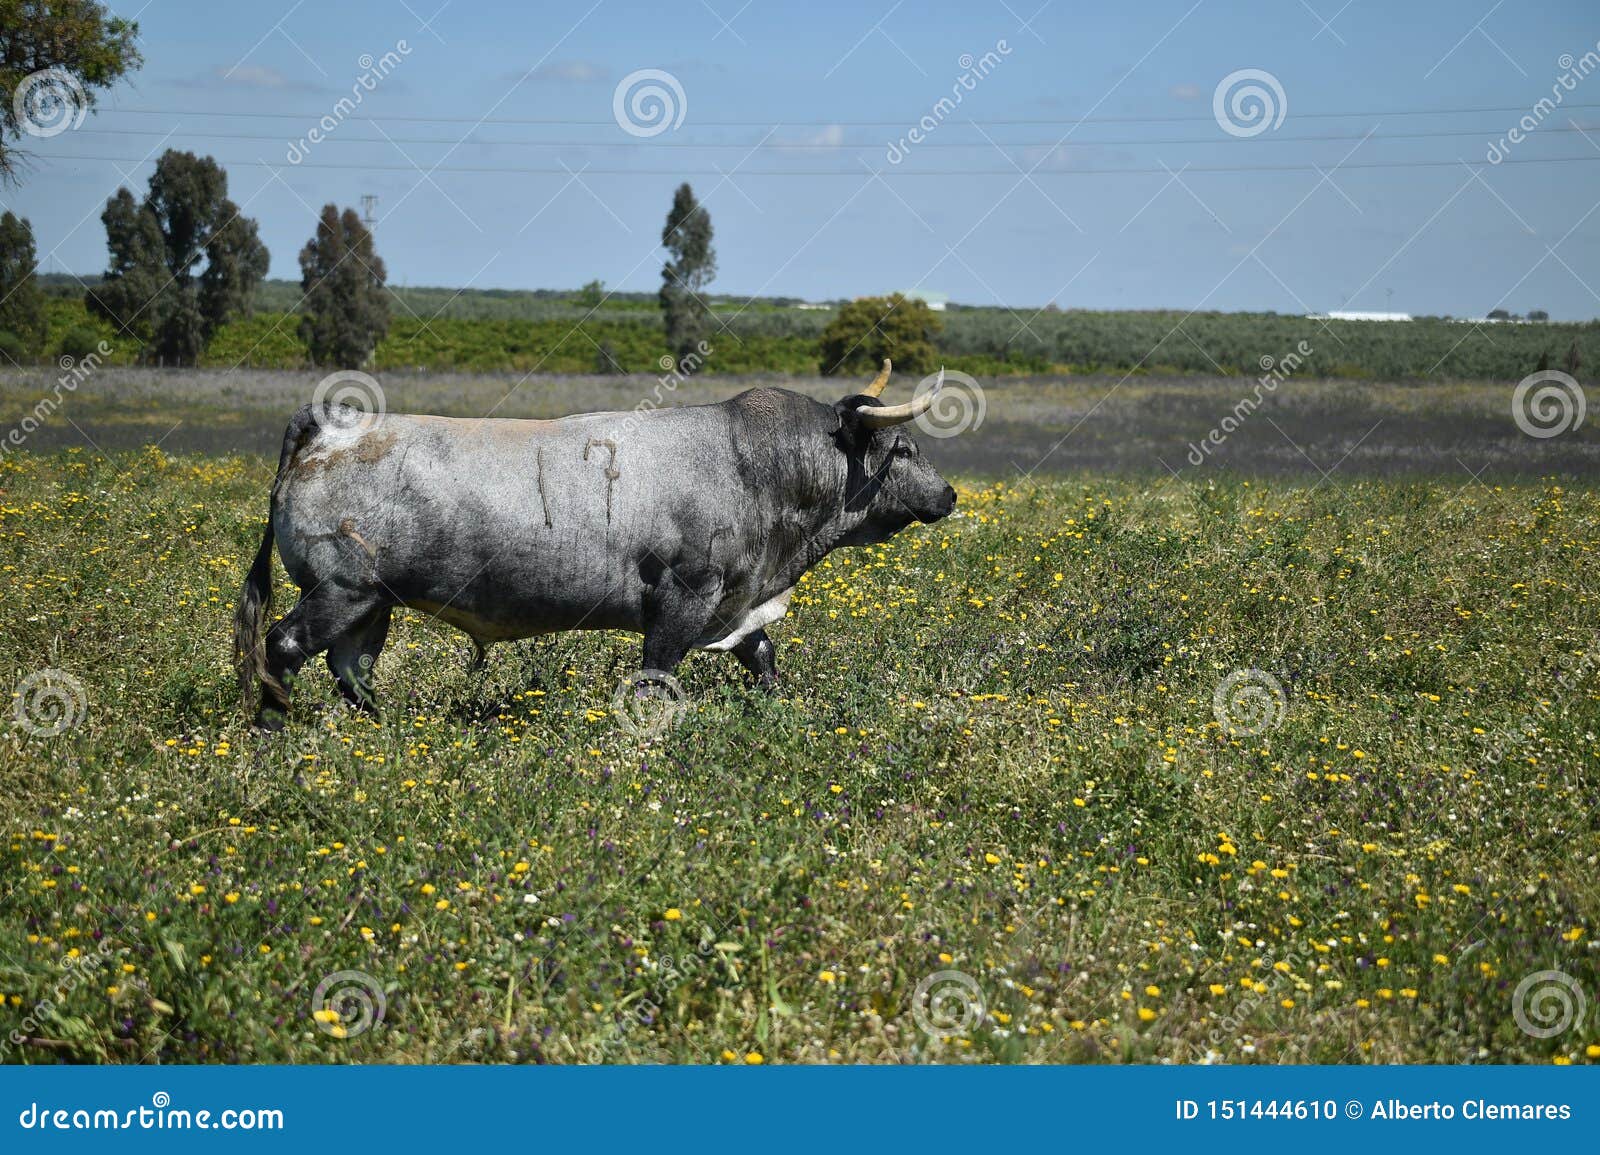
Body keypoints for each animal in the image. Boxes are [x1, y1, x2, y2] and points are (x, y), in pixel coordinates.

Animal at [233, 360, 958, 729]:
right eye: (902, 448)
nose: (950, 494)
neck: (754, 468)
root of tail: (332, 423)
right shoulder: (683, 595)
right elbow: (656, 677)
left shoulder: (736, 604)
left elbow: (764, 659)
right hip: (339, 589)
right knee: (285, 645)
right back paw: (273, 729)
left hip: (370, 603)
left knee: (351, 669)